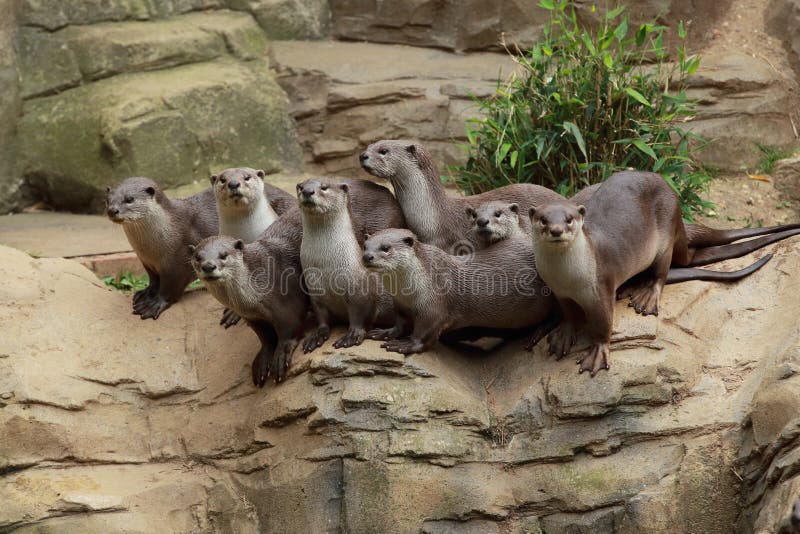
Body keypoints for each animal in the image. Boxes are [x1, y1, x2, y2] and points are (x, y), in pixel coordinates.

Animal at [106, 177, 217, 320]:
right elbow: (153, 280)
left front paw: (153, 305)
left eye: (130, 199)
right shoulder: (146, 262)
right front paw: (146, 293)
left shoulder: (178, 263)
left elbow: (170, 288)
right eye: (108, 200)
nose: (112, 210)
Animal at [297, 179, 401, 352]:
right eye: (301, 187)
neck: (326, 265)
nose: (307, 191)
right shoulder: (315, 291)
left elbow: (360, 316)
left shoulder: (359, 291)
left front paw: (352, 335)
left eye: (324, 187)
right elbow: (321, 316)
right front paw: (317, 335)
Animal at [529, 171, 796, 376]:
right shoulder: (559, 292)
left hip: (666, 236)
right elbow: (569, 314)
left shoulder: (600, 287)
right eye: (543, 220)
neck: (567, 277)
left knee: (662, 274)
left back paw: (647, 296)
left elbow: (603, 325)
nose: (556, 230)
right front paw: (563, 335)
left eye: (569, 219)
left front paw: (597, 353)